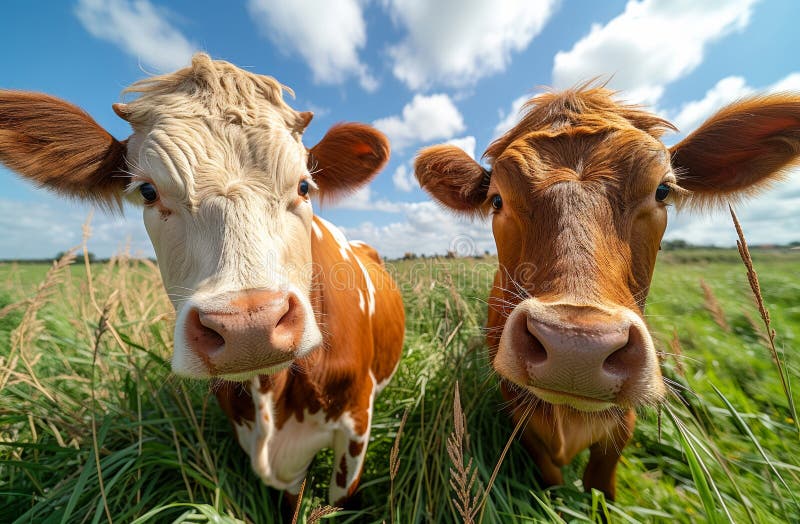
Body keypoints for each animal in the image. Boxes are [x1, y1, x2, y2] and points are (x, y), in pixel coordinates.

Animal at [414, 85, 800, 499]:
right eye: (497, 199)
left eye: (663, 190)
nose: (575, 347)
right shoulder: (517, 408)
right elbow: (549, 474)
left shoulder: (622, 423)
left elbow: (601, 483)